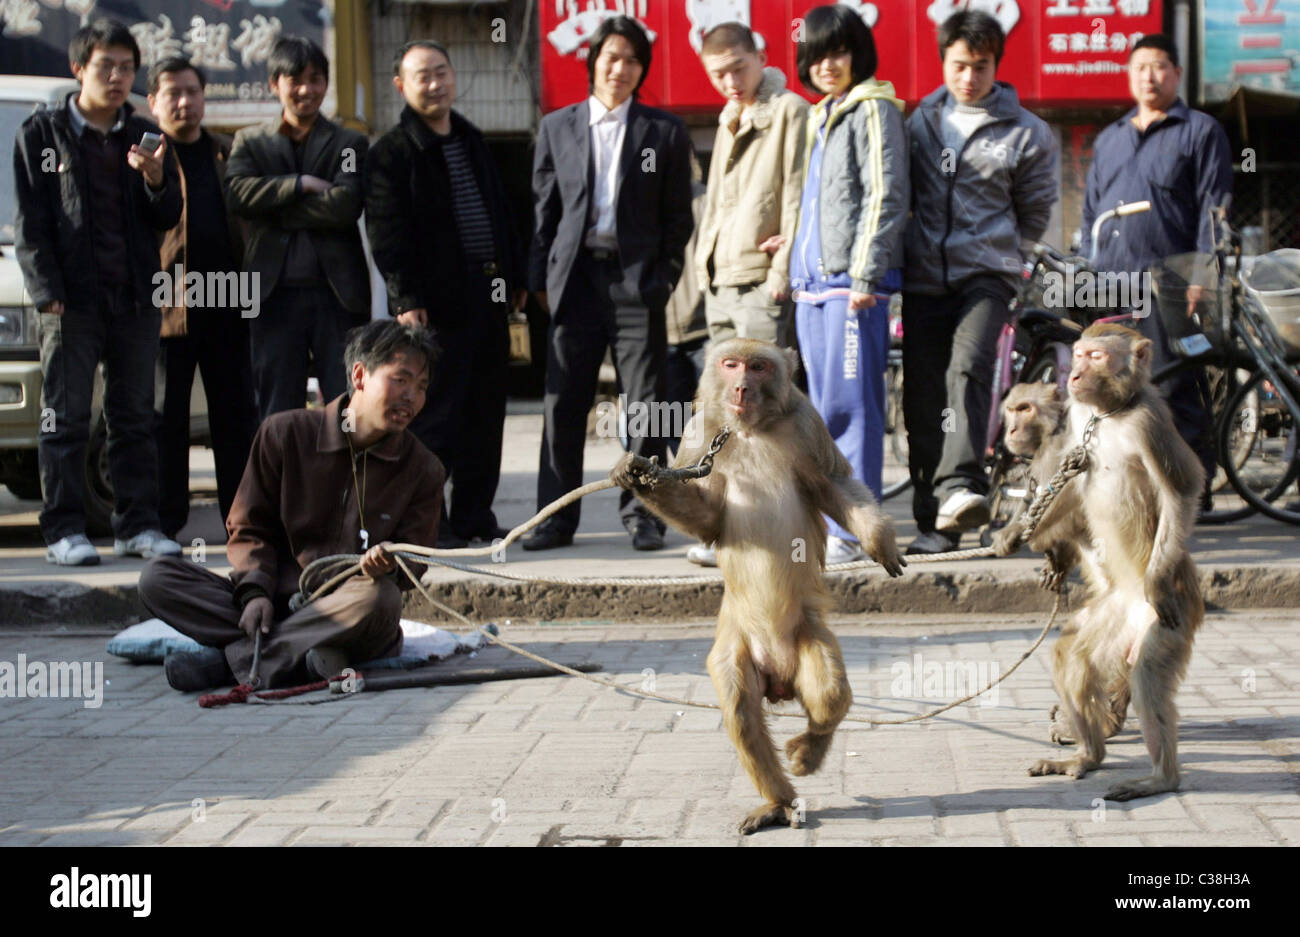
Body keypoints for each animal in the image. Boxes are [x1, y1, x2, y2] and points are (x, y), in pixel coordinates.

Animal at [610, 338, 906, 834]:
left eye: (759, 366)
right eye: (731, 364)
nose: (742, 387)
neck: (749, 431)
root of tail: (779, 681)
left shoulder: (806, 423)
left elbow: (834, 483)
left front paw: (877, 539)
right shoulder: (699, 434)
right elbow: (709, 518)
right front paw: (640, 477)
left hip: (808, 636)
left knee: (828, 697)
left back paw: (810, 749)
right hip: (738, 642)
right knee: (741, 711)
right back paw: (779, 801)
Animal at [1019, 322, 1205, 801]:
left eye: (1097, 357)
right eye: (1080, 353)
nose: (1074, 375)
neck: (1112, 414)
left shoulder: (1149, 422)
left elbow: (1181, 490)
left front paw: (1156, 583)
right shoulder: (1080, 420)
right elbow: (1068, 488)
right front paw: (1049, 548)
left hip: (1167, 622)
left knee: (1147, 676)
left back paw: (1161, 778)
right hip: (1115, 614)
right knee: (1070, 653)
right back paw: (1088, 756)